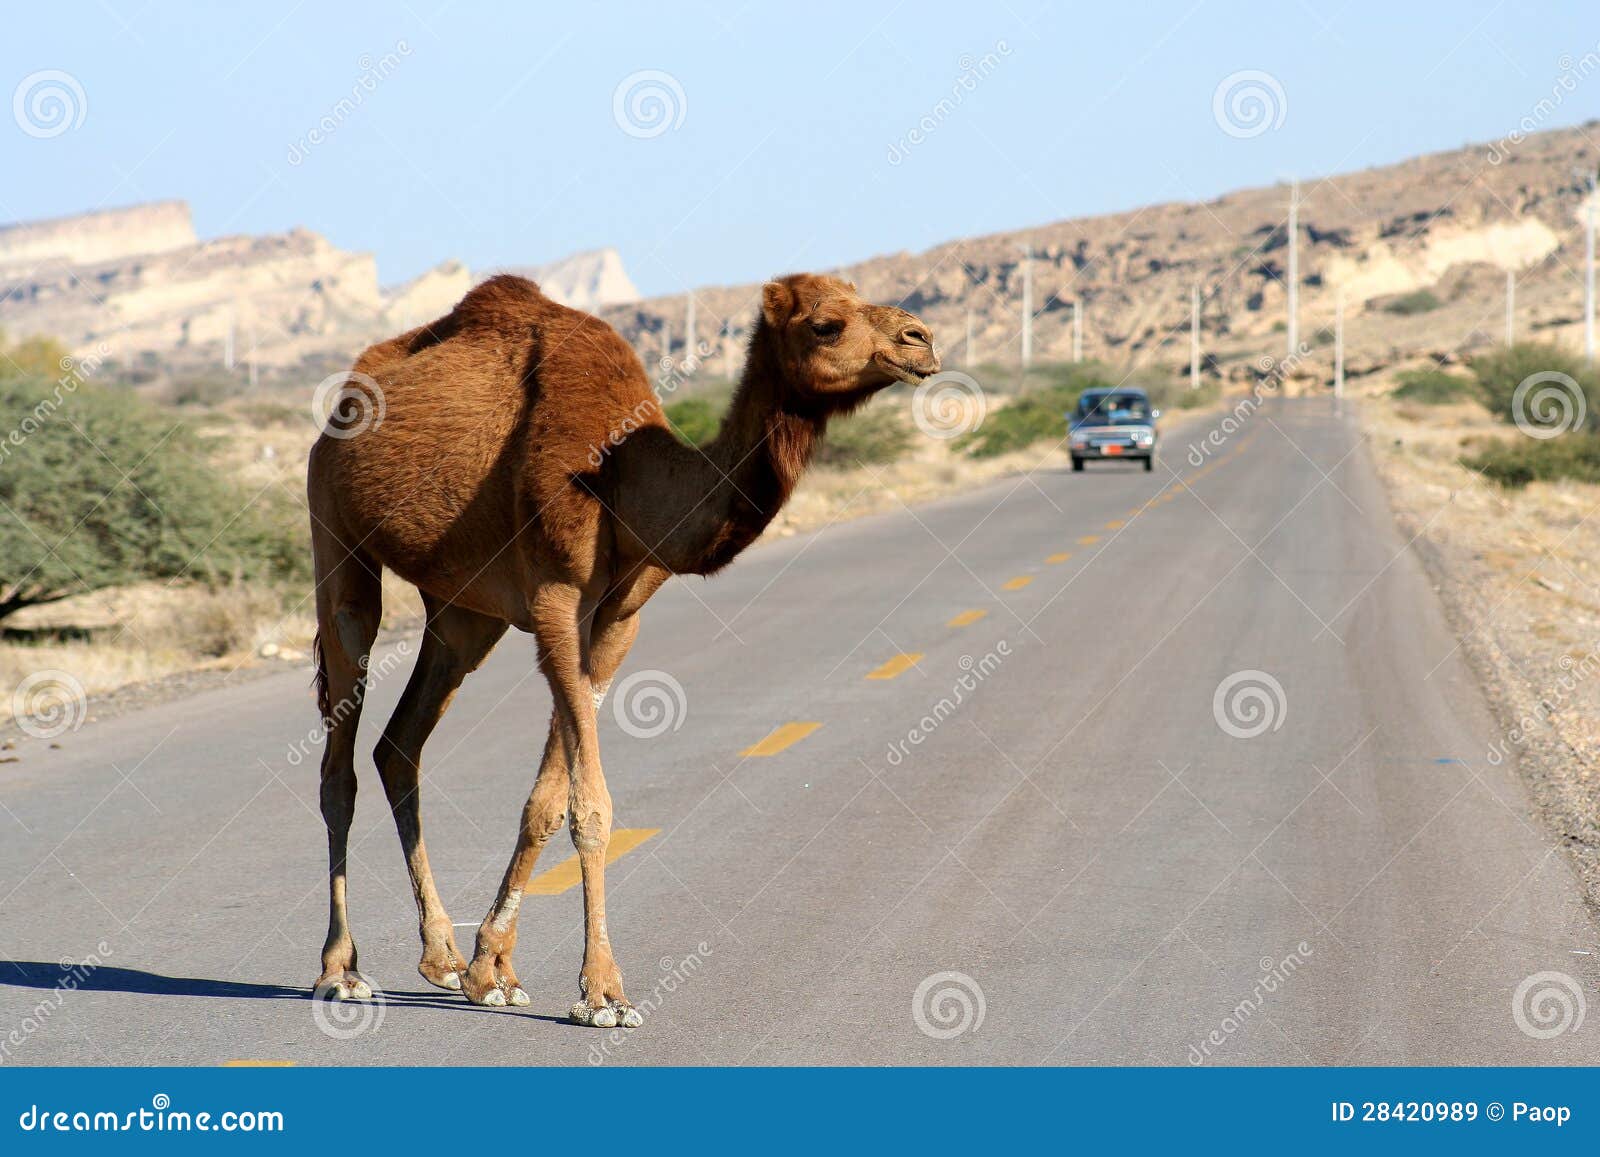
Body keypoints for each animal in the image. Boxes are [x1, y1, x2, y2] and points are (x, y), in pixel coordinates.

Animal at [305, 272, 938, 1026]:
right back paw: (340, 970)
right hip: (336, 538)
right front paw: (603, 992)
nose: (922, 340)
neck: (622, 475)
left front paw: (493, 970)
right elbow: (591, 806)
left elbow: (547, 801)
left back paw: (440, 955)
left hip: (463, 613)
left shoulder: (616, 623)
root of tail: (342, 406)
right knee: (340, 755)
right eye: (826, 324)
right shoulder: (555, 599)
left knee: (398, 745)